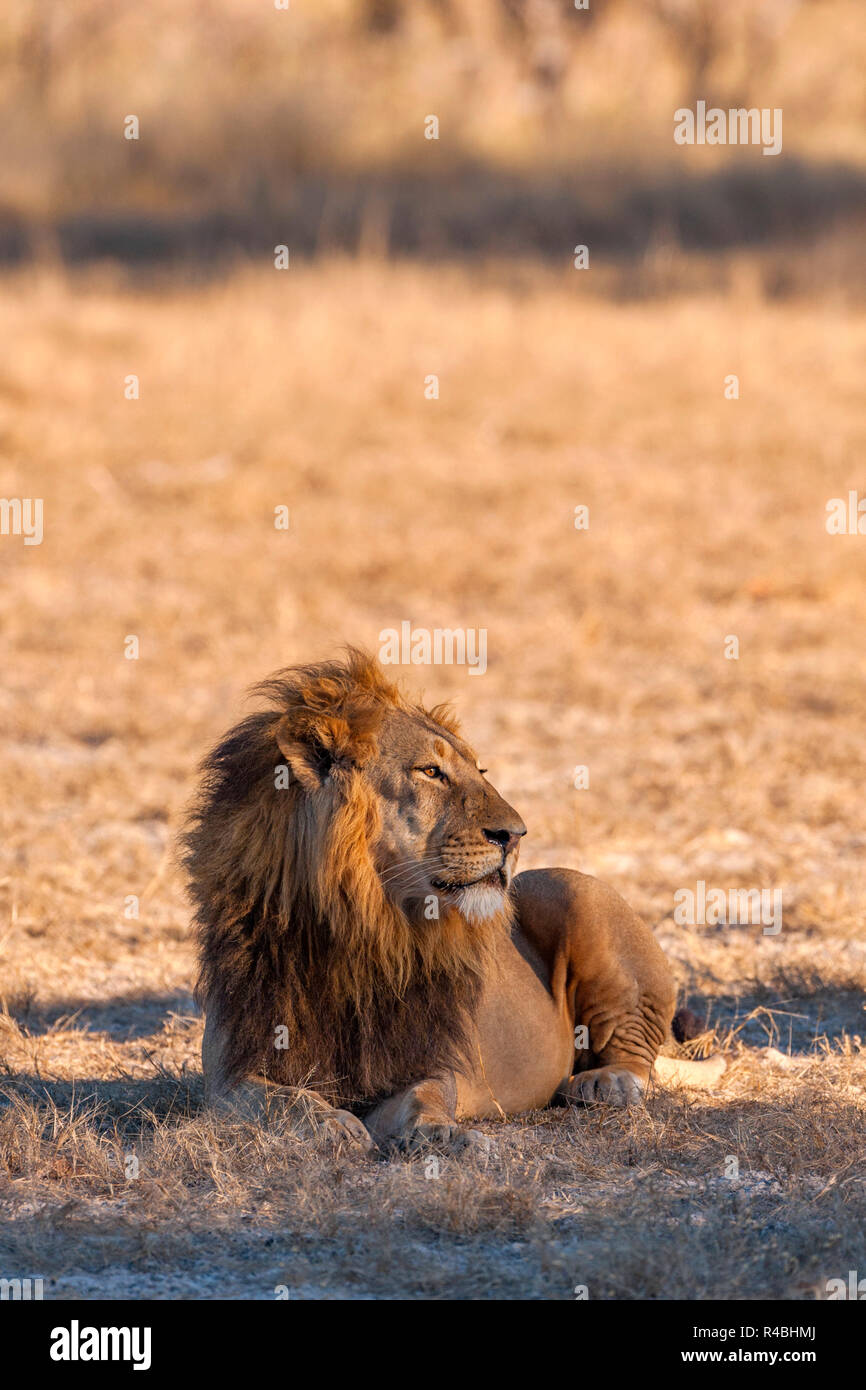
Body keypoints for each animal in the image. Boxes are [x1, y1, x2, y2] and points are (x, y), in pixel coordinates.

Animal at [183, 649, 722, 1152]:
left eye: (479, 769)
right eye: (430, 771)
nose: (515, 834)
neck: (360, 924)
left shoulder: (426, 1058)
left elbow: (426, 1097)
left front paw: (443, 1135)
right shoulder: (229, 1074)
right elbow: (278, 1098)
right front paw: (327, 1123)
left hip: (578, 891)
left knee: (638, 1054)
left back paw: (605, 1083)